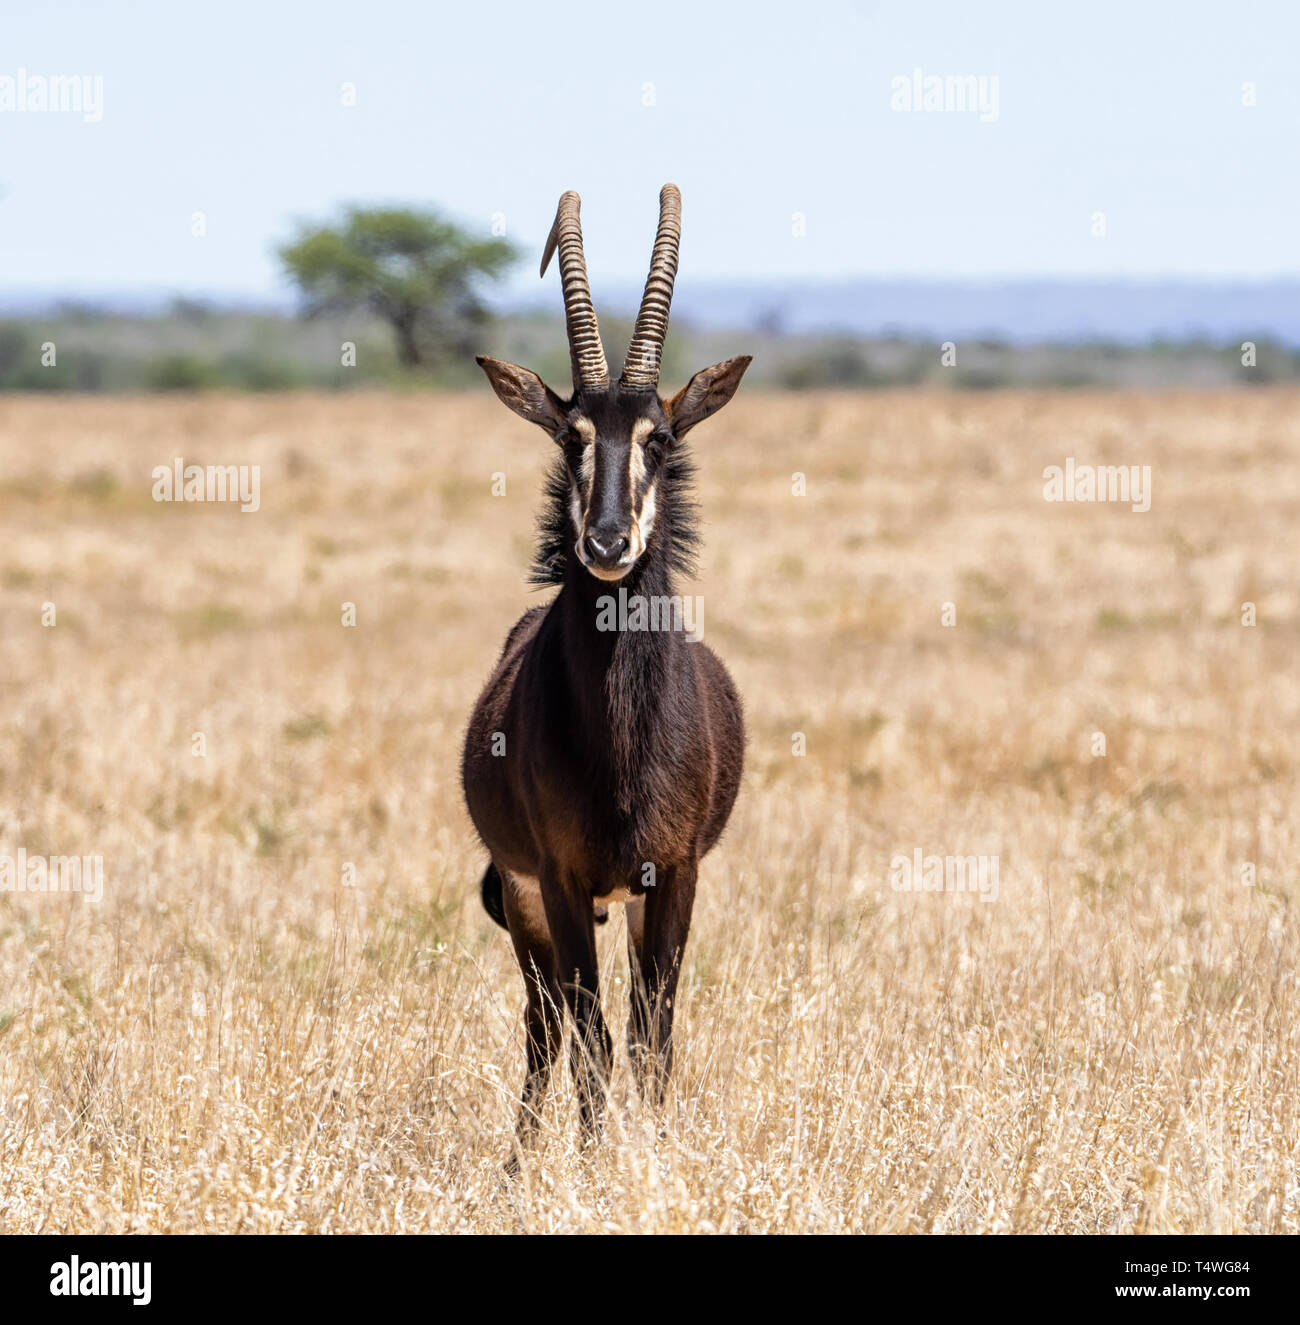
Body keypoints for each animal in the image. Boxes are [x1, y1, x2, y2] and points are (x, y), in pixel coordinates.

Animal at [463, 185, 750, 1160]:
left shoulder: (674, 874)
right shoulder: (559, 878)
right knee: (546, 1022)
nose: (608, 542)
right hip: (527, 900)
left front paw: (654, 1155)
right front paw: (589, 1165)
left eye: (658, 437)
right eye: (570, 436)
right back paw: (517, 1164)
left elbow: (653, 1032)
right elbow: (591, 1036)